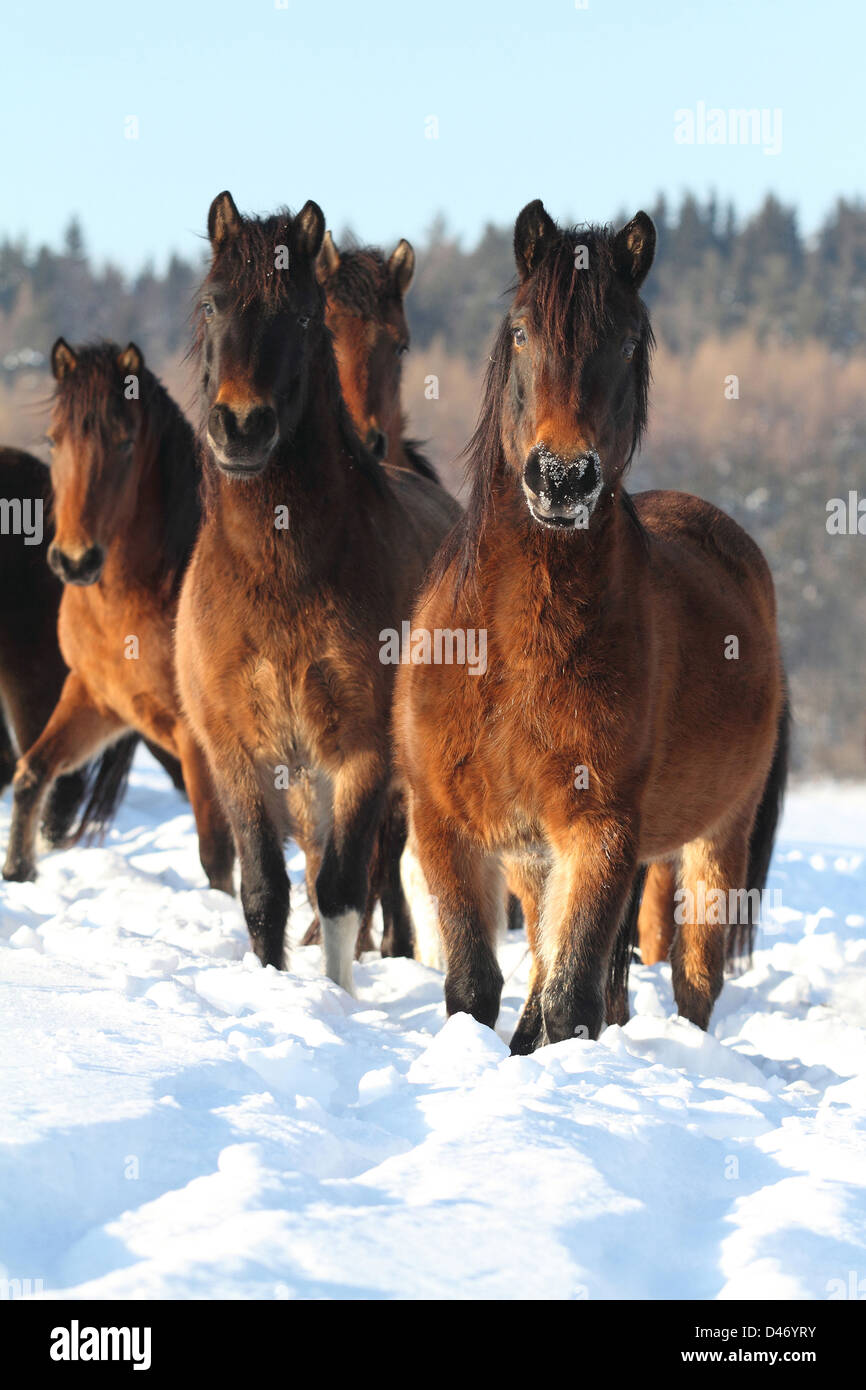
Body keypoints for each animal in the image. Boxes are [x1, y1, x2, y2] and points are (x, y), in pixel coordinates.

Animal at [2, 341, 234, 892]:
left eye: (126, 443)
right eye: (54, 439)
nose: (75, 560)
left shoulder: (193, 738)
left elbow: (216, 855)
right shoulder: (95, 700)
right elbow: (32, 775)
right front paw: (19, 870)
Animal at [175, 191, 461, 987]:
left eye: (301, 317)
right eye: (211, 303)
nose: (242, 425)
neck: (280, 581)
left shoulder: (361, 752)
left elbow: (341, 891)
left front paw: (334, 999)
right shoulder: (238, 753)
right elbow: (265, 891)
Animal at [394, 199, 789, 1051]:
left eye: (630, 339)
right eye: (520, 332)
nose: (562, 477)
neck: (508, 650)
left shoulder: (599, 829)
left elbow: (571, 1001)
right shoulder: (451, 827)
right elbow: (477, 986)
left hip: (717, 839)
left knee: (693, 979)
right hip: (538, 858)